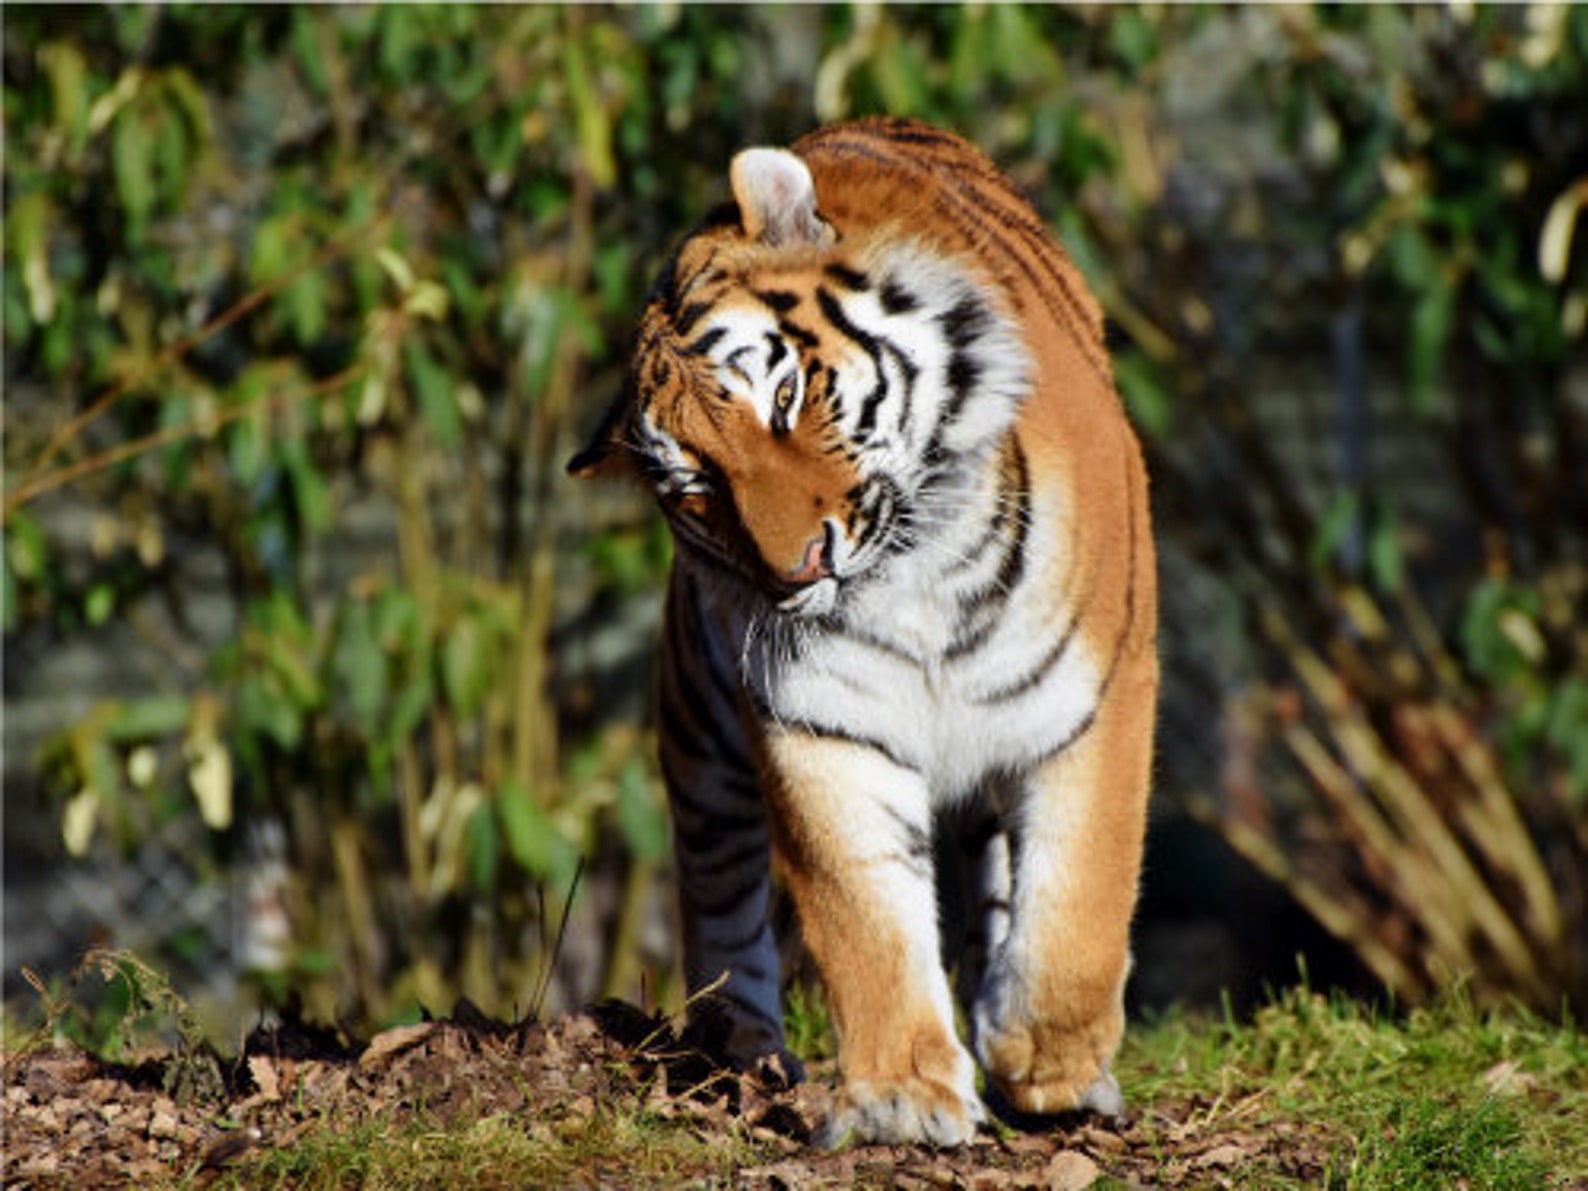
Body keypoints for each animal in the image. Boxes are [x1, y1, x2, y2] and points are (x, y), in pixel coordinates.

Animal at [570, 117, 1157, 1148]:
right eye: (696, 487)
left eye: (783, 399)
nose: (797, 568)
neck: (911, 573)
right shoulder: (820, 721)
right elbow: (864, 909)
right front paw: (904, 1097)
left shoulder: (1097, 691)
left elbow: (1081, 890)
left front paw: (1048, 1064)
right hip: (701, 730)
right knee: (717, 887)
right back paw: (741, 1050)